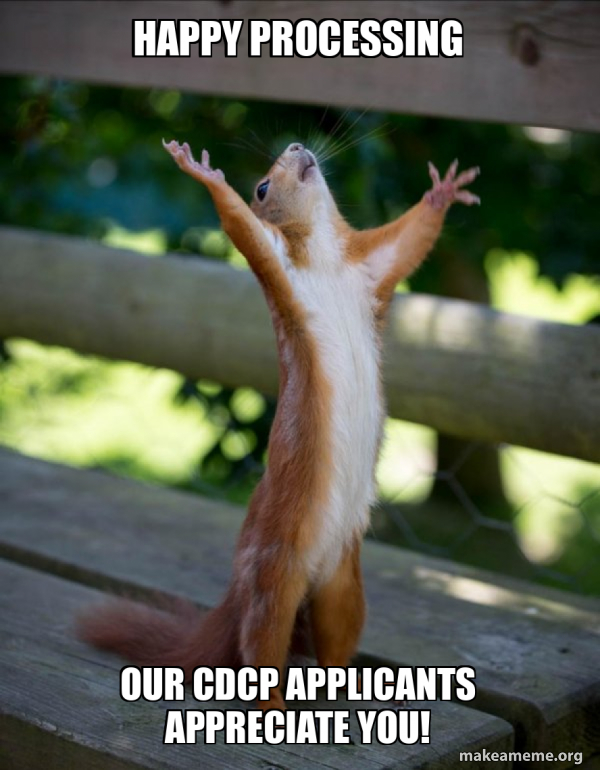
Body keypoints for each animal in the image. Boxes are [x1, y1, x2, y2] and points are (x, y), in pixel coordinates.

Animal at [78, 139, 479, 711]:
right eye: (262, 187)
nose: (296, 146)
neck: (327, 260)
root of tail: (241, 590)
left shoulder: (372, 267)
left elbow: (410, 240)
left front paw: (443, 191)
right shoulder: (277, 265)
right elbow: (240, 226)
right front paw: (204, 173)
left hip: (344, 587)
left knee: (336, 638)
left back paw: (347, 687)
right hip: (273, 580)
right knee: (261, 650)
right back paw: (275, 707)